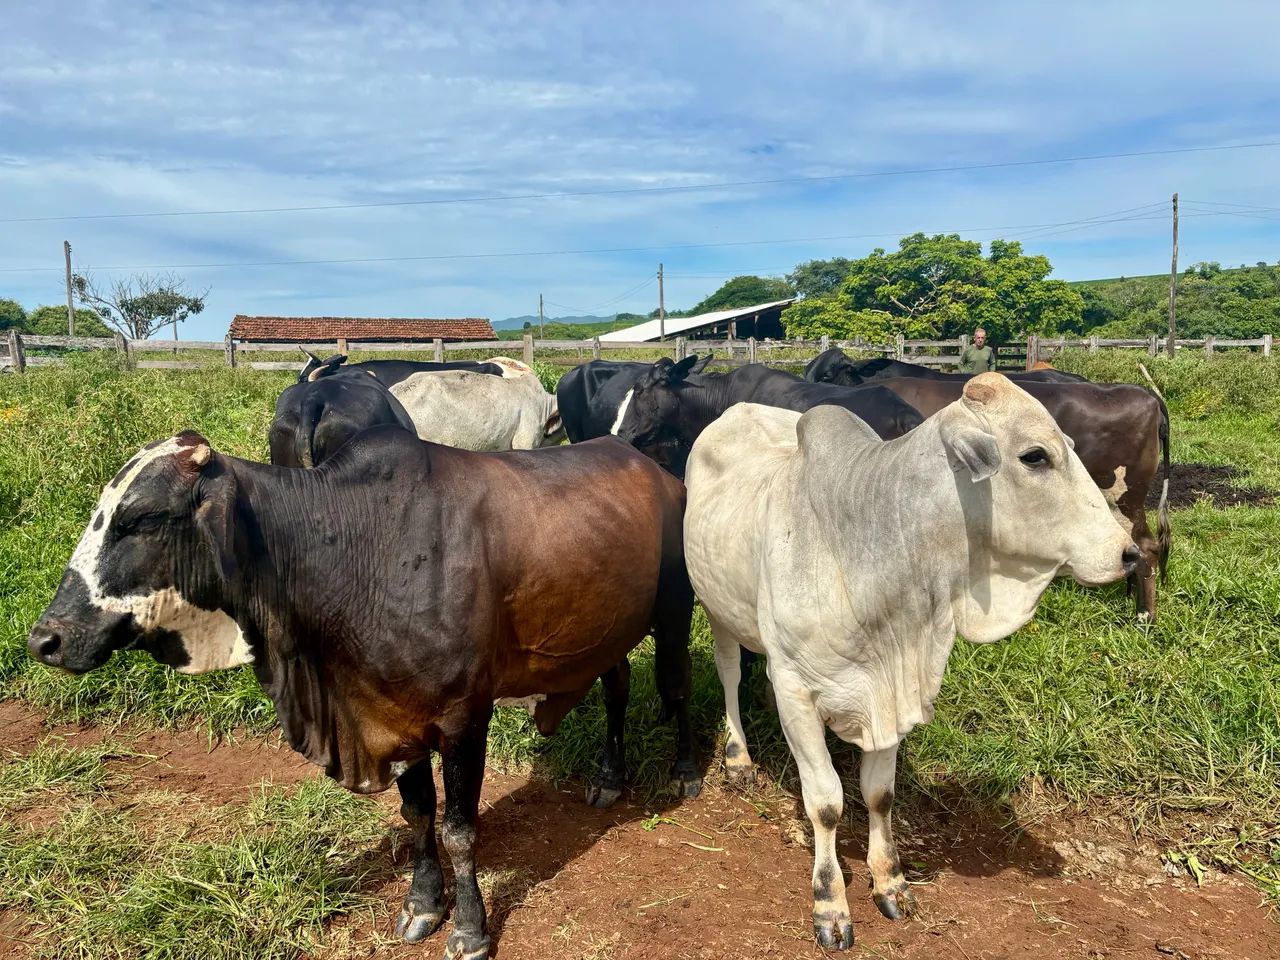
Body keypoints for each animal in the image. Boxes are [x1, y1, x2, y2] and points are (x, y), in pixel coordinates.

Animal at [27, 428, 701, 959]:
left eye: (141, 519)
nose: (45, 639)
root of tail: (655, 467)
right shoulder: (393, 715)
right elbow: (418, 814)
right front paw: (424, 905)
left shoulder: (463, 716)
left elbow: (459, 829)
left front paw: (470, 930)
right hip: (607, 634)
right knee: (616, 689)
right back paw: (609, 777)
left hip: (674, 610)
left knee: (678, 685)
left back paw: (686, 770)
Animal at [682, 374, 1137, 951]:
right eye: (1035, 456)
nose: (1128, 553)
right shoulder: (796, 689)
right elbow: (826, 802)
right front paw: (830, 904)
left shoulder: (892, 690)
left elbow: (880, 795)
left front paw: (890, 882)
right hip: (715, 605)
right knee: (730, 672)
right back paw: (738, 757)